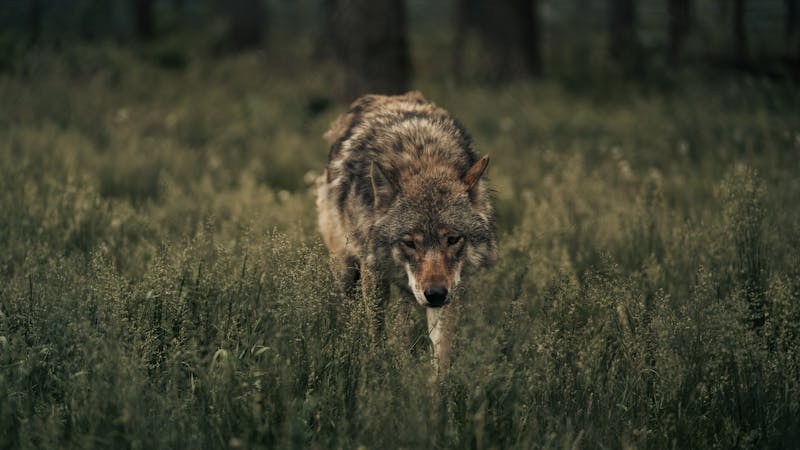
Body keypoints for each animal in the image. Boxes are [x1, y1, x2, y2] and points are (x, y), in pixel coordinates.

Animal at [315, 91, 497, 371]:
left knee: (403, 327)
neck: (423, 159)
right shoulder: (374, 271)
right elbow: (376, 330)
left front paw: (437, 383)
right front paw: (376, 370)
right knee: (345, 309)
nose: (435, 294)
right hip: (345, 267)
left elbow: (441, 349)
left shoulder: (452, 286)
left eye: (452, 239)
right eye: (409, 243)